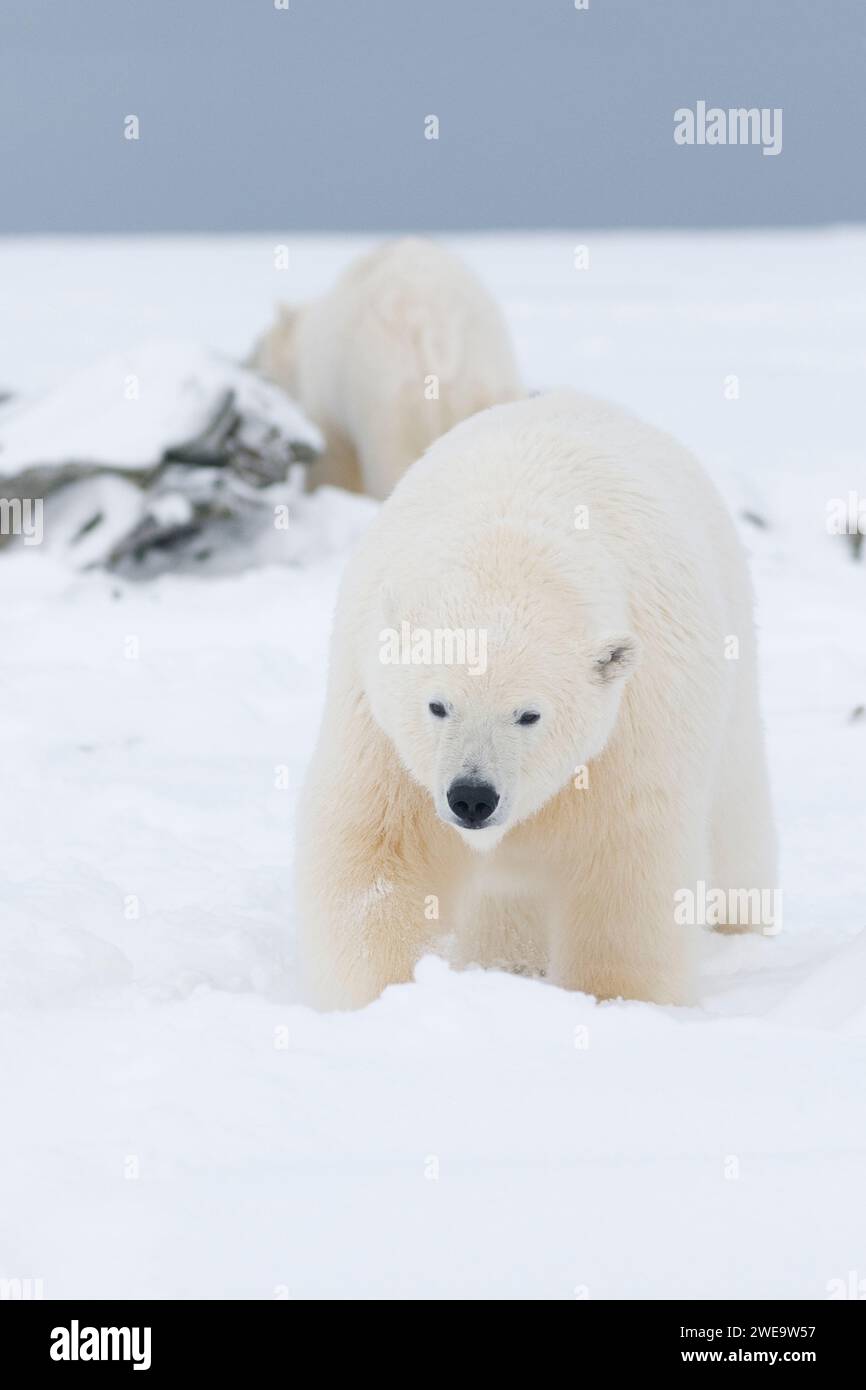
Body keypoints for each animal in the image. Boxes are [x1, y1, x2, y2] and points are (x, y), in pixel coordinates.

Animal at [251, 238, 522, 500]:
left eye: (258, 345)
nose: (249, 365)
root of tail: (438, 330)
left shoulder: (326, 391)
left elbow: (333, 459)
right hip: (489, 378)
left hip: (388, 393)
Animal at [295, 389, 777, 1010]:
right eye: (437, 705)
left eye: (529, 714)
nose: (472, 798)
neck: (511, 545)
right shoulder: (381, 733)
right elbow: (376, 853)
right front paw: (391, 994)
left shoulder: (633, 726)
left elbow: (628, 868)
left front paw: (619, 1001)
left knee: (737, 809)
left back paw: (740, 923)